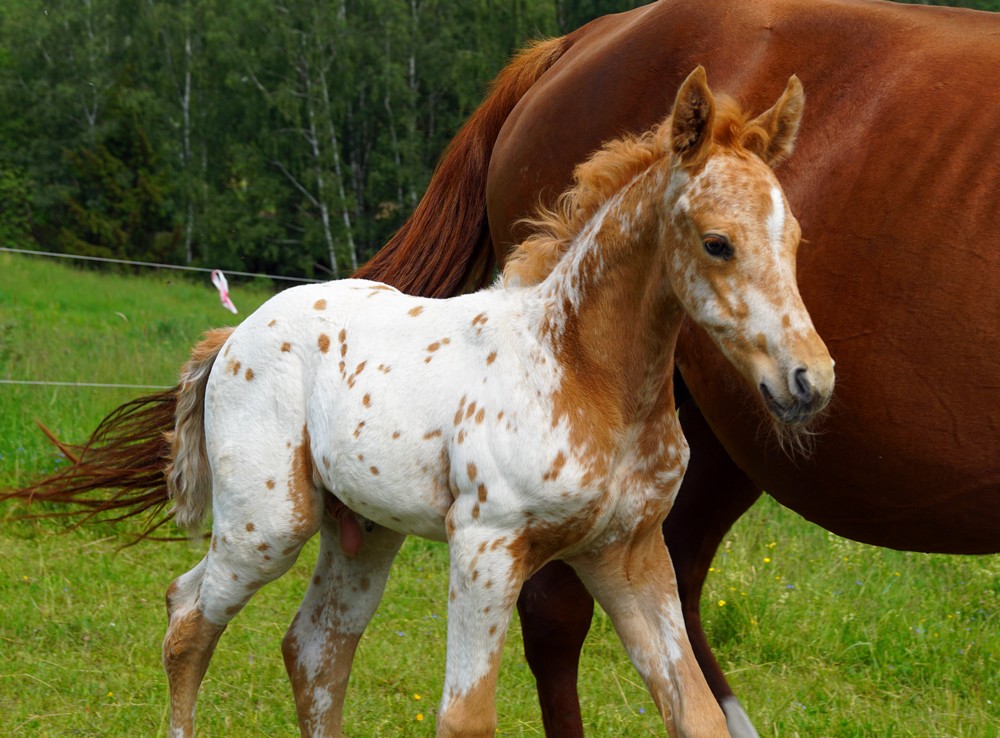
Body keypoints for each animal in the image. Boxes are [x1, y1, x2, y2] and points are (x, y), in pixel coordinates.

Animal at [5, 69, 833, 737]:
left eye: (796, 238)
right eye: (718, 242)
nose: (810, 381)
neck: (583, 372)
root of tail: (235, 331)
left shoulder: (627, 552)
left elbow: (694, 713)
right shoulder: (488, 546)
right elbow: (465, 718)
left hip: (362, 531)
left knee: (312, 650)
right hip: (267, 523)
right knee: (187, 620)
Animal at [351, 1, 1000, 735]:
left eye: (796, 240)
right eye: (716, 244)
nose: (813, 378)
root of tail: (571, 44)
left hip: (718, 448)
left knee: (680, 597)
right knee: (560, 613)